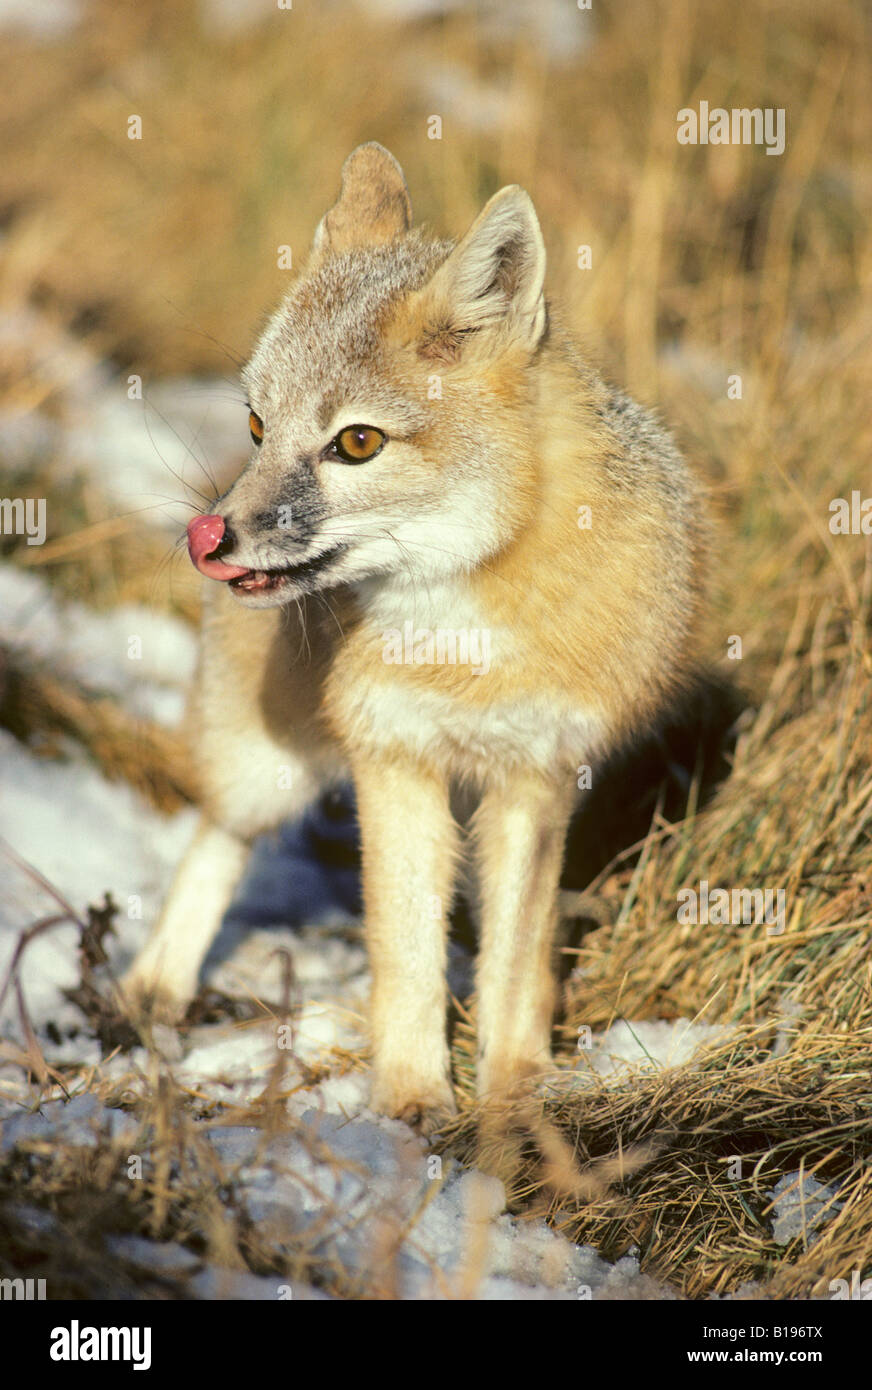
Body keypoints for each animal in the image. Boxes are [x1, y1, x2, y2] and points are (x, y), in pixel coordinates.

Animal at [122, 142, 708, 1133]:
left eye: (357, 443)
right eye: (259, 424)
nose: (208, 538)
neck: (461, 644)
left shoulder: (538, 779)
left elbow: (511, 960)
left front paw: (517, 1091)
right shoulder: (392, 759)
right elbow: (405, 957)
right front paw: (409, 1096)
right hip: (267, 772)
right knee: (218, 836)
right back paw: (154, 984)